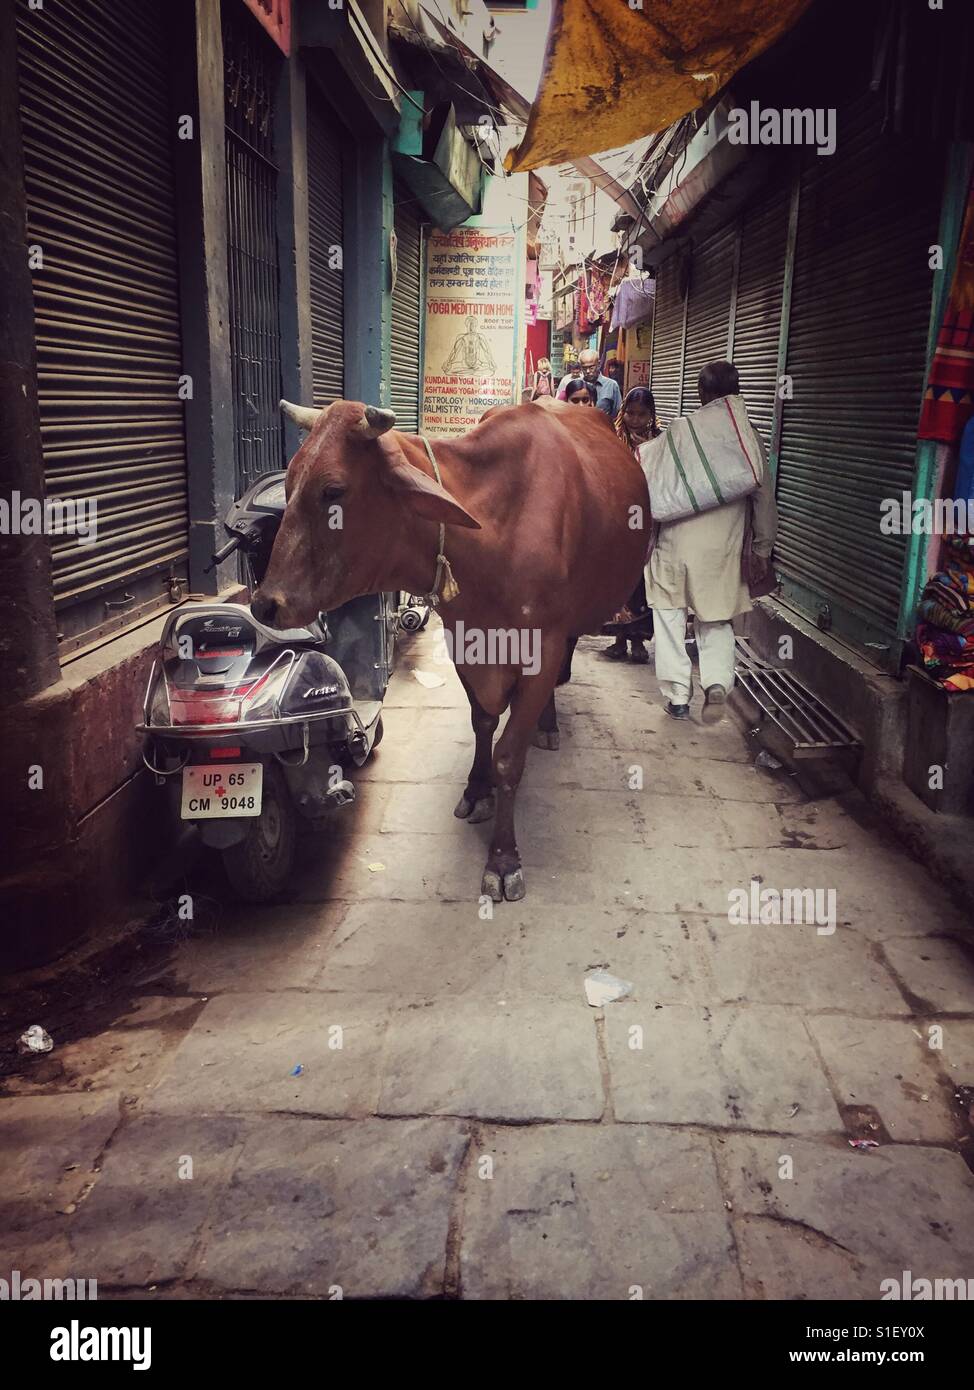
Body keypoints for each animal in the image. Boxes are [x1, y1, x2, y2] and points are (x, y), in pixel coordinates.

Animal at [250, 398, 649, 902]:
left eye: (333, 490)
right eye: (288, 482)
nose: (265, 603)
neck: (496, 528)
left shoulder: (542, 650)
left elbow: (508, 756)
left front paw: (503, 858)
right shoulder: (464, 643)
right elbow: (483, 723)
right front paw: (477, 790)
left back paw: (548, 724)